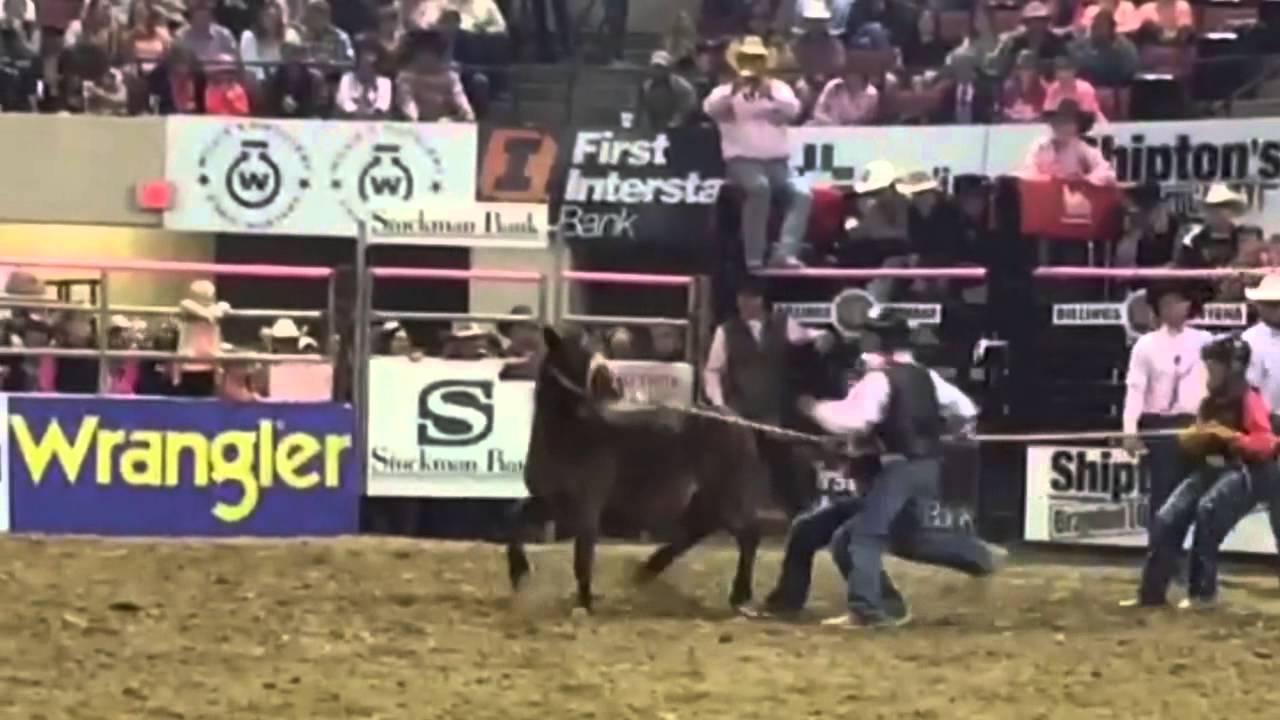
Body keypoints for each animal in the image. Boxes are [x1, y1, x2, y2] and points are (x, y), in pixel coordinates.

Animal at [506, 325, 765, 613]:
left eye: (599, 348)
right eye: (575, 350)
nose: (614, 385)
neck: (571, 433)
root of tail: (735, 418)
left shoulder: (585, 509)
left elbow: (583, 558)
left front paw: (584, 604)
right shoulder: (549, 501)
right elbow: (515, 516)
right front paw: (519, 573)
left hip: (727, 495)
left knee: (748, 534)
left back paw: (739, 596)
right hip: (706, 499)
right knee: (700, 529)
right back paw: (648, 570)